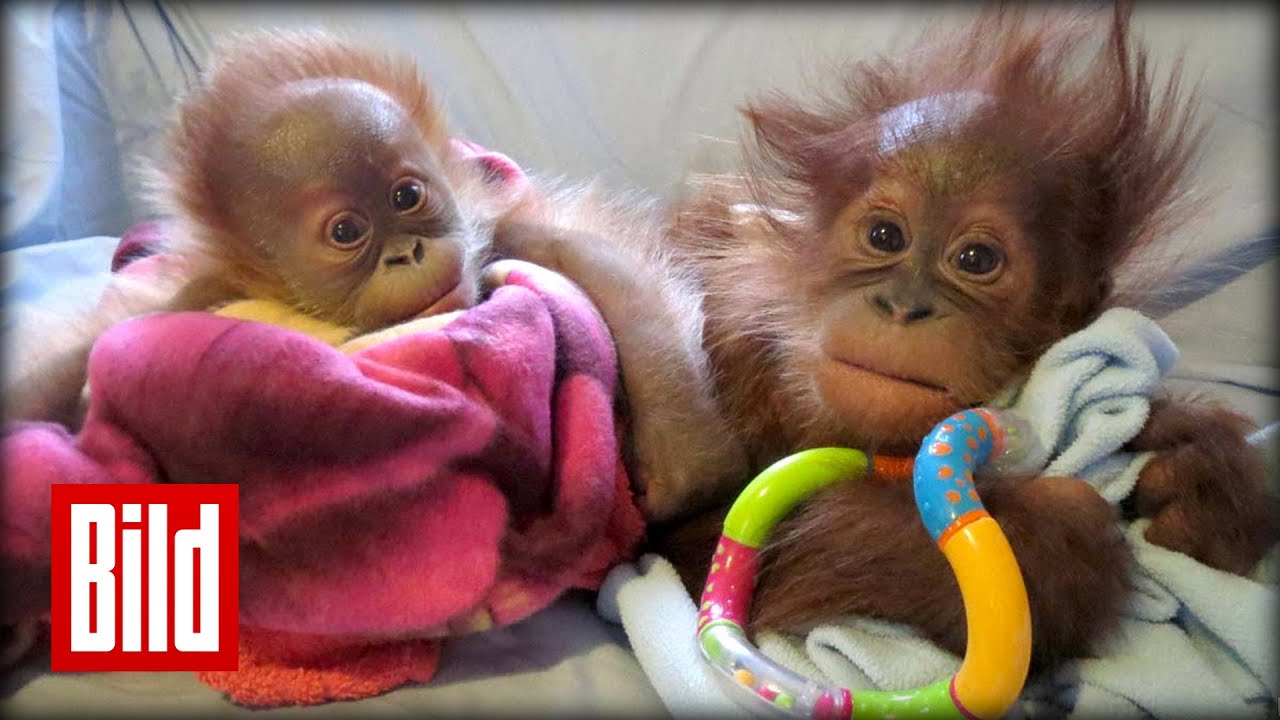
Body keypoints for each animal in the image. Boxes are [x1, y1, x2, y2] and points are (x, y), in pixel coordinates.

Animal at [495, 3, 1279, 670]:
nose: (904, 306)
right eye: (884, 236)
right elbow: (687, 527)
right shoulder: (732, 336)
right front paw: (1069, 528)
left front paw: (1197, 477)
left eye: (976, 259)